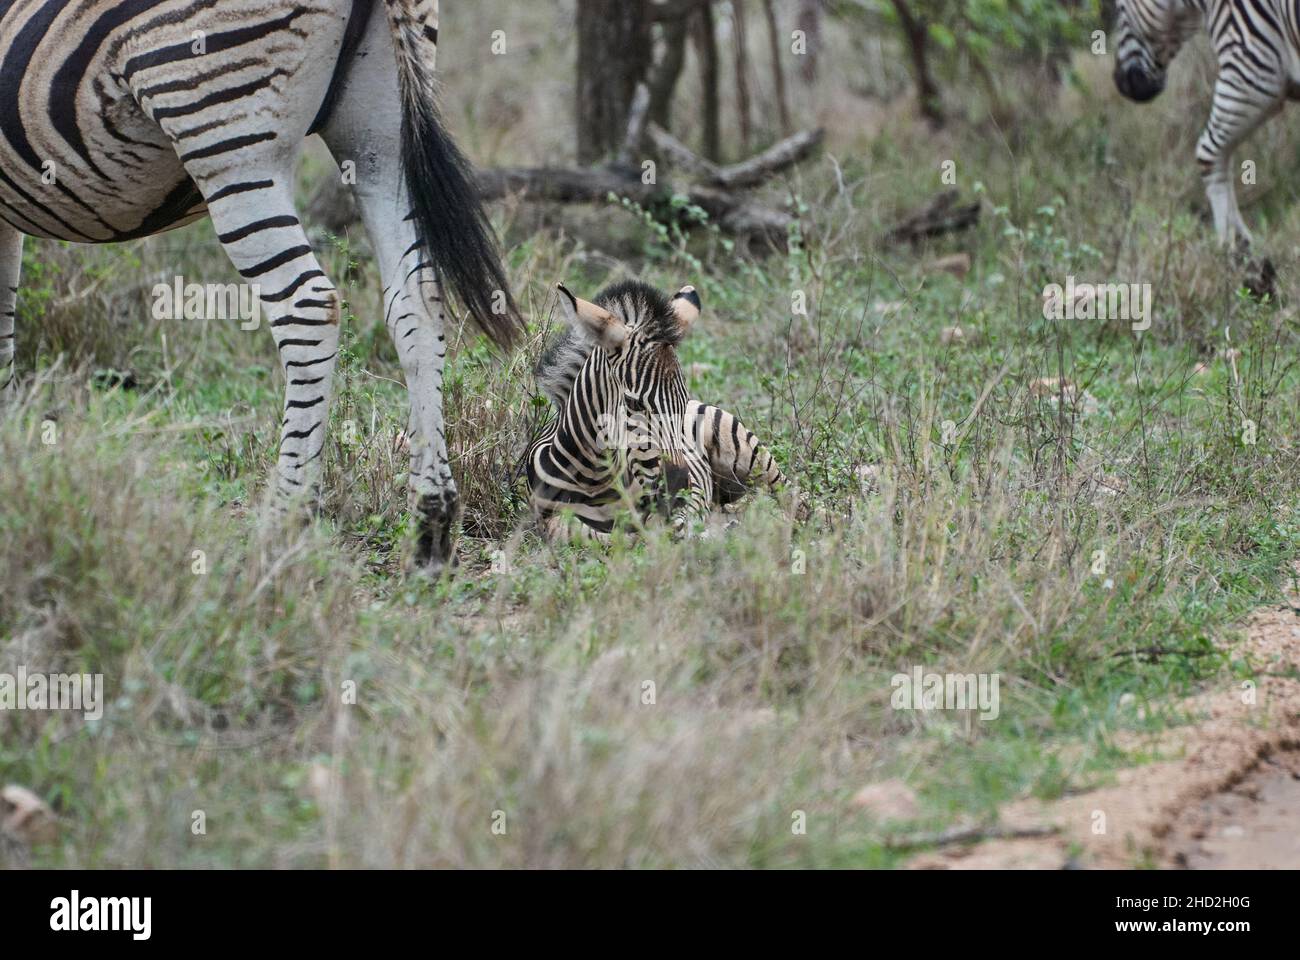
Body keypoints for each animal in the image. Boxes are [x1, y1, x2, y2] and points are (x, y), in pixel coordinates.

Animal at [0, 0, 521, 569]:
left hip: (227, 130)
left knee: (310, 308)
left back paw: (282, 523)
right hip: (381, 134)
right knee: (419, 303)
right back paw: (430, 526)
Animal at [526, 279, 784, 540]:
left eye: (682, 402)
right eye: (634, 404)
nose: (679, 492)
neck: (596, 480)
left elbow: (659, 532)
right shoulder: (547, 518)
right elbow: (583, 532)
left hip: (750, 453)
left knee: (787, 496)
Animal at [1112, 0, 1300, 251]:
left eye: (1119, 8)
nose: (1121, 84)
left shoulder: (1251, 68)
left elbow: (1210, 154)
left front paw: (1234, 247)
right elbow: (1225, 158)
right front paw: (1240, 245)